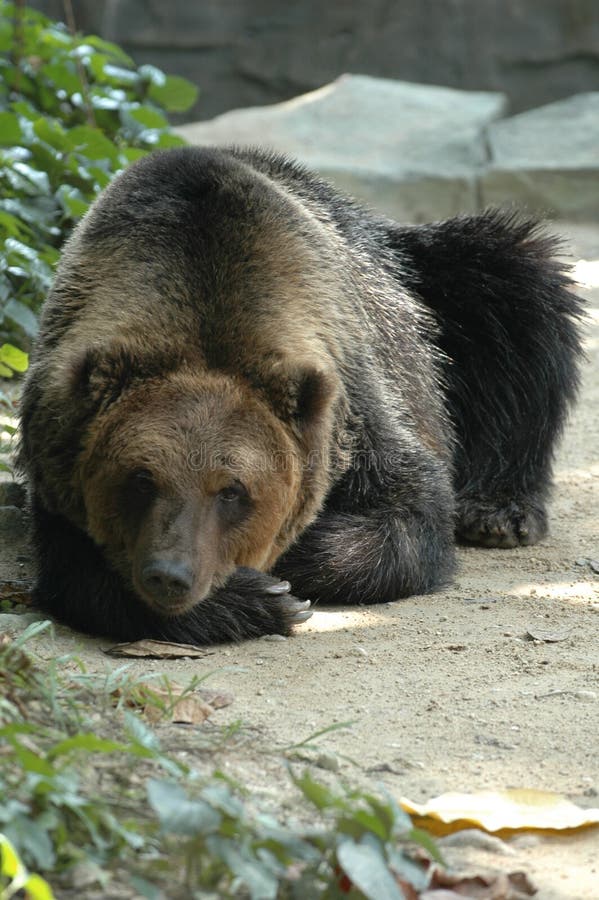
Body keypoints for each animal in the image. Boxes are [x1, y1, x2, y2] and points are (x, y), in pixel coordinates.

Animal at [17, 146, 584, 645]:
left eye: (232, 490)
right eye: (139, 479)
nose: (170, 574)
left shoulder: (357, 397)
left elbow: (409, 511)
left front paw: (290, 570)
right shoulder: (57, 441)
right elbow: (81, 572)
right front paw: (253, 599)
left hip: (433, 289)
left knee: (515, 288)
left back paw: (498, 511)